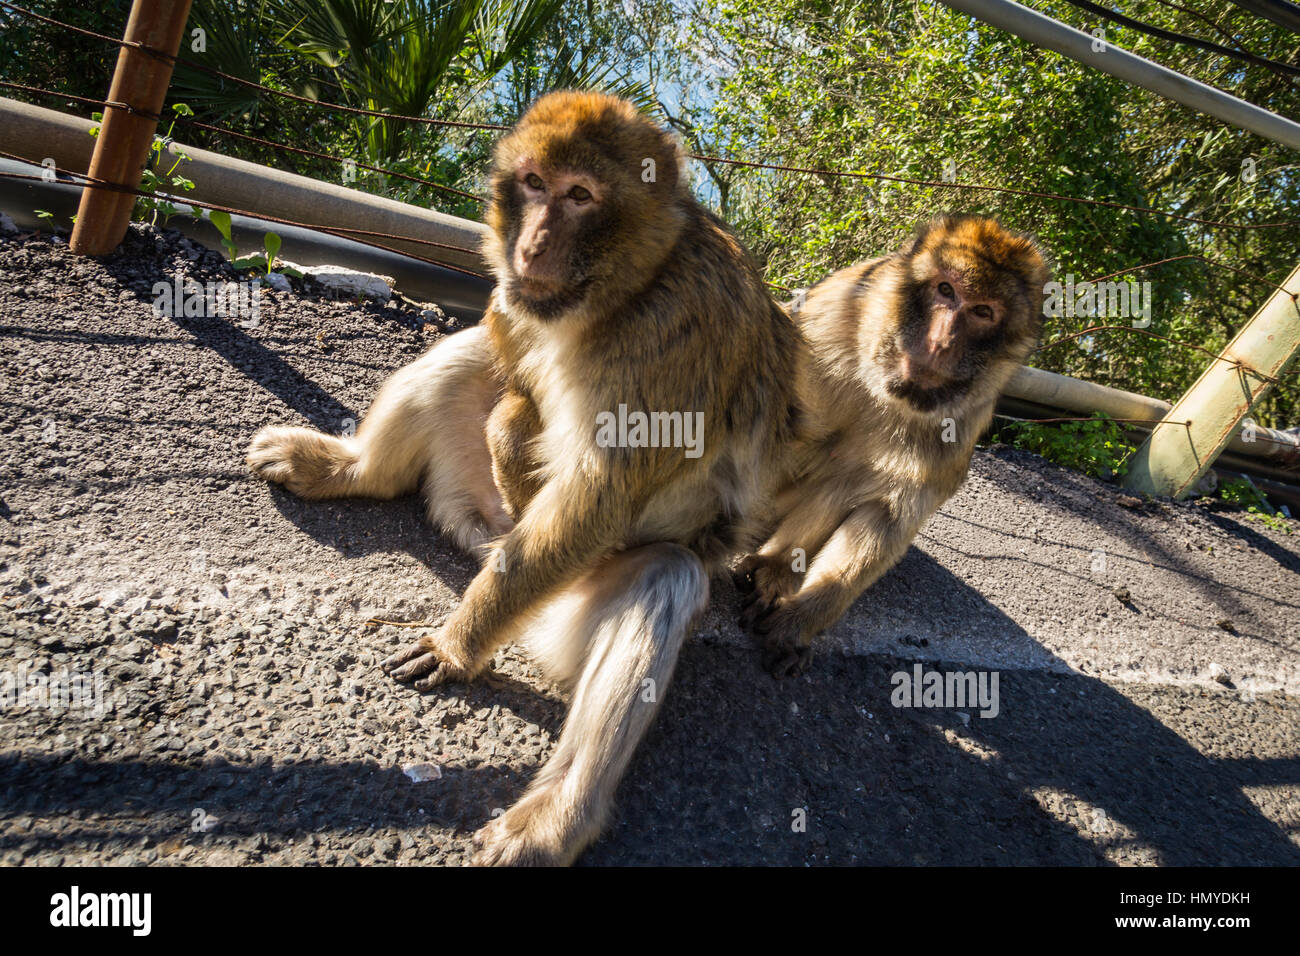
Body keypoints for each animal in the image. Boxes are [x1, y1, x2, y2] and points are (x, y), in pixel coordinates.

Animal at [245, 91, 803, 865]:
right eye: (535, 182)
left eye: (580, 196)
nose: (532, 246)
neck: (624, 292)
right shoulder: (526, 301)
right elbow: (509, 364)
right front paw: (513, 430)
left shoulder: (678, 333)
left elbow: (601, 500)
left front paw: (457, 645)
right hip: (481, 511)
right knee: (470, 357)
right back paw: (349, 467)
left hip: (565, 592)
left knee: (664, 580)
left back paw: (556, 817)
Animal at [736, 214, 1049, 679]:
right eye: (945, 290)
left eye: (983, 312)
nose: (940, 343)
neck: (881, 384)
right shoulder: (827, 321)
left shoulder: (963, 421)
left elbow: (887, 513)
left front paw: (801, 620)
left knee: (847, 474)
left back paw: (778, 565)